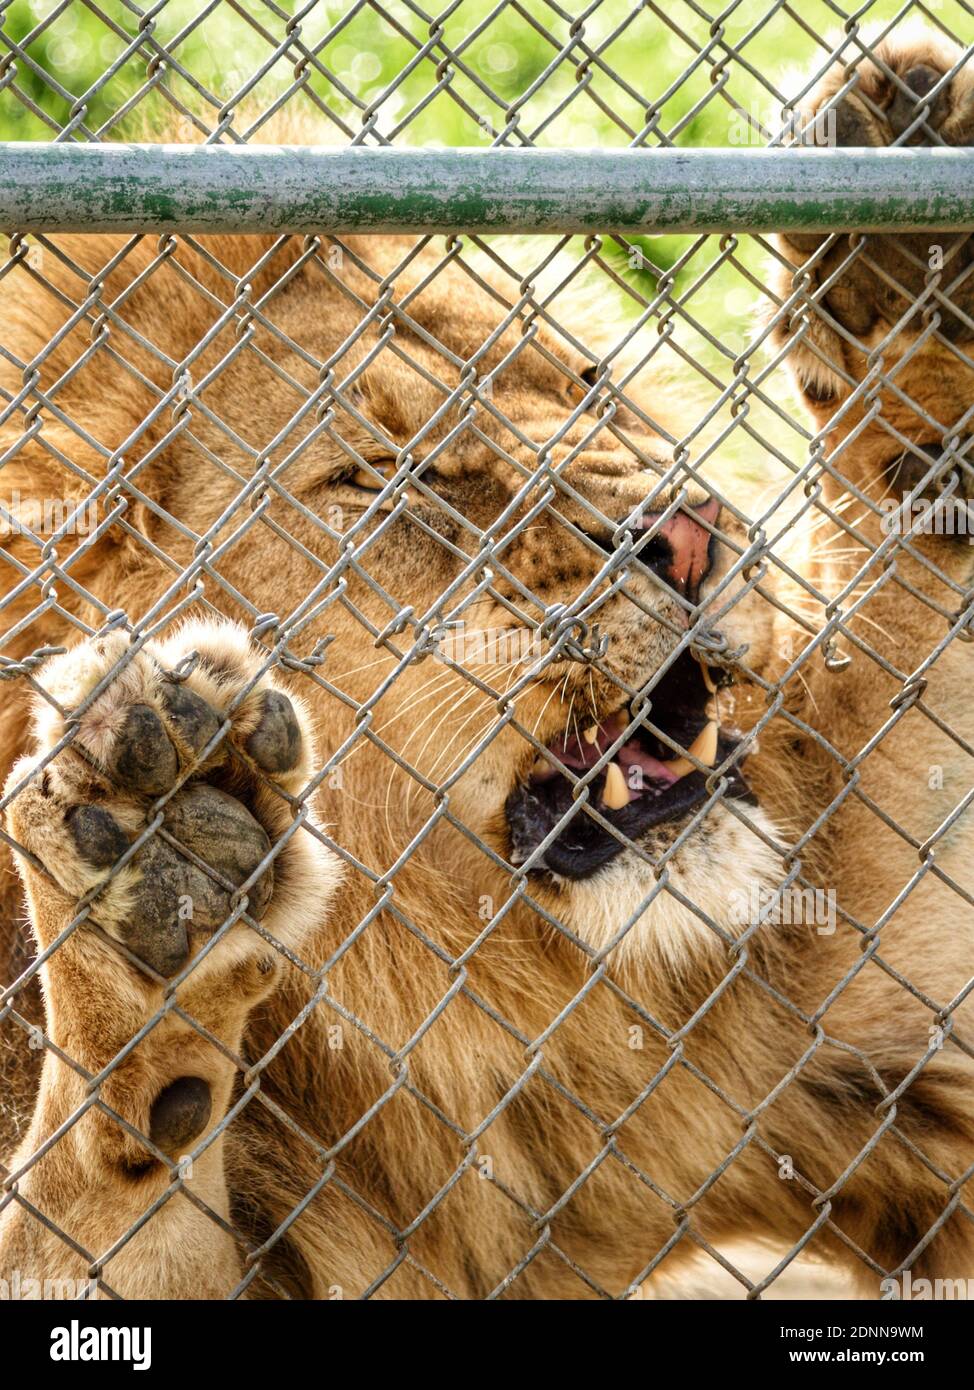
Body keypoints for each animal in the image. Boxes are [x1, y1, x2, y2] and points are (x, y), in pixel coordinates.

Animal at [0, 31, 972, 1299]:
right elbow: (83, 1190)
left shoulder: (843, 1018)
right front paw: (152, 859)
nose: (692, 528)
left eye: (586, 384)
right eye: (384, 474)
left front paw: (907, 230)